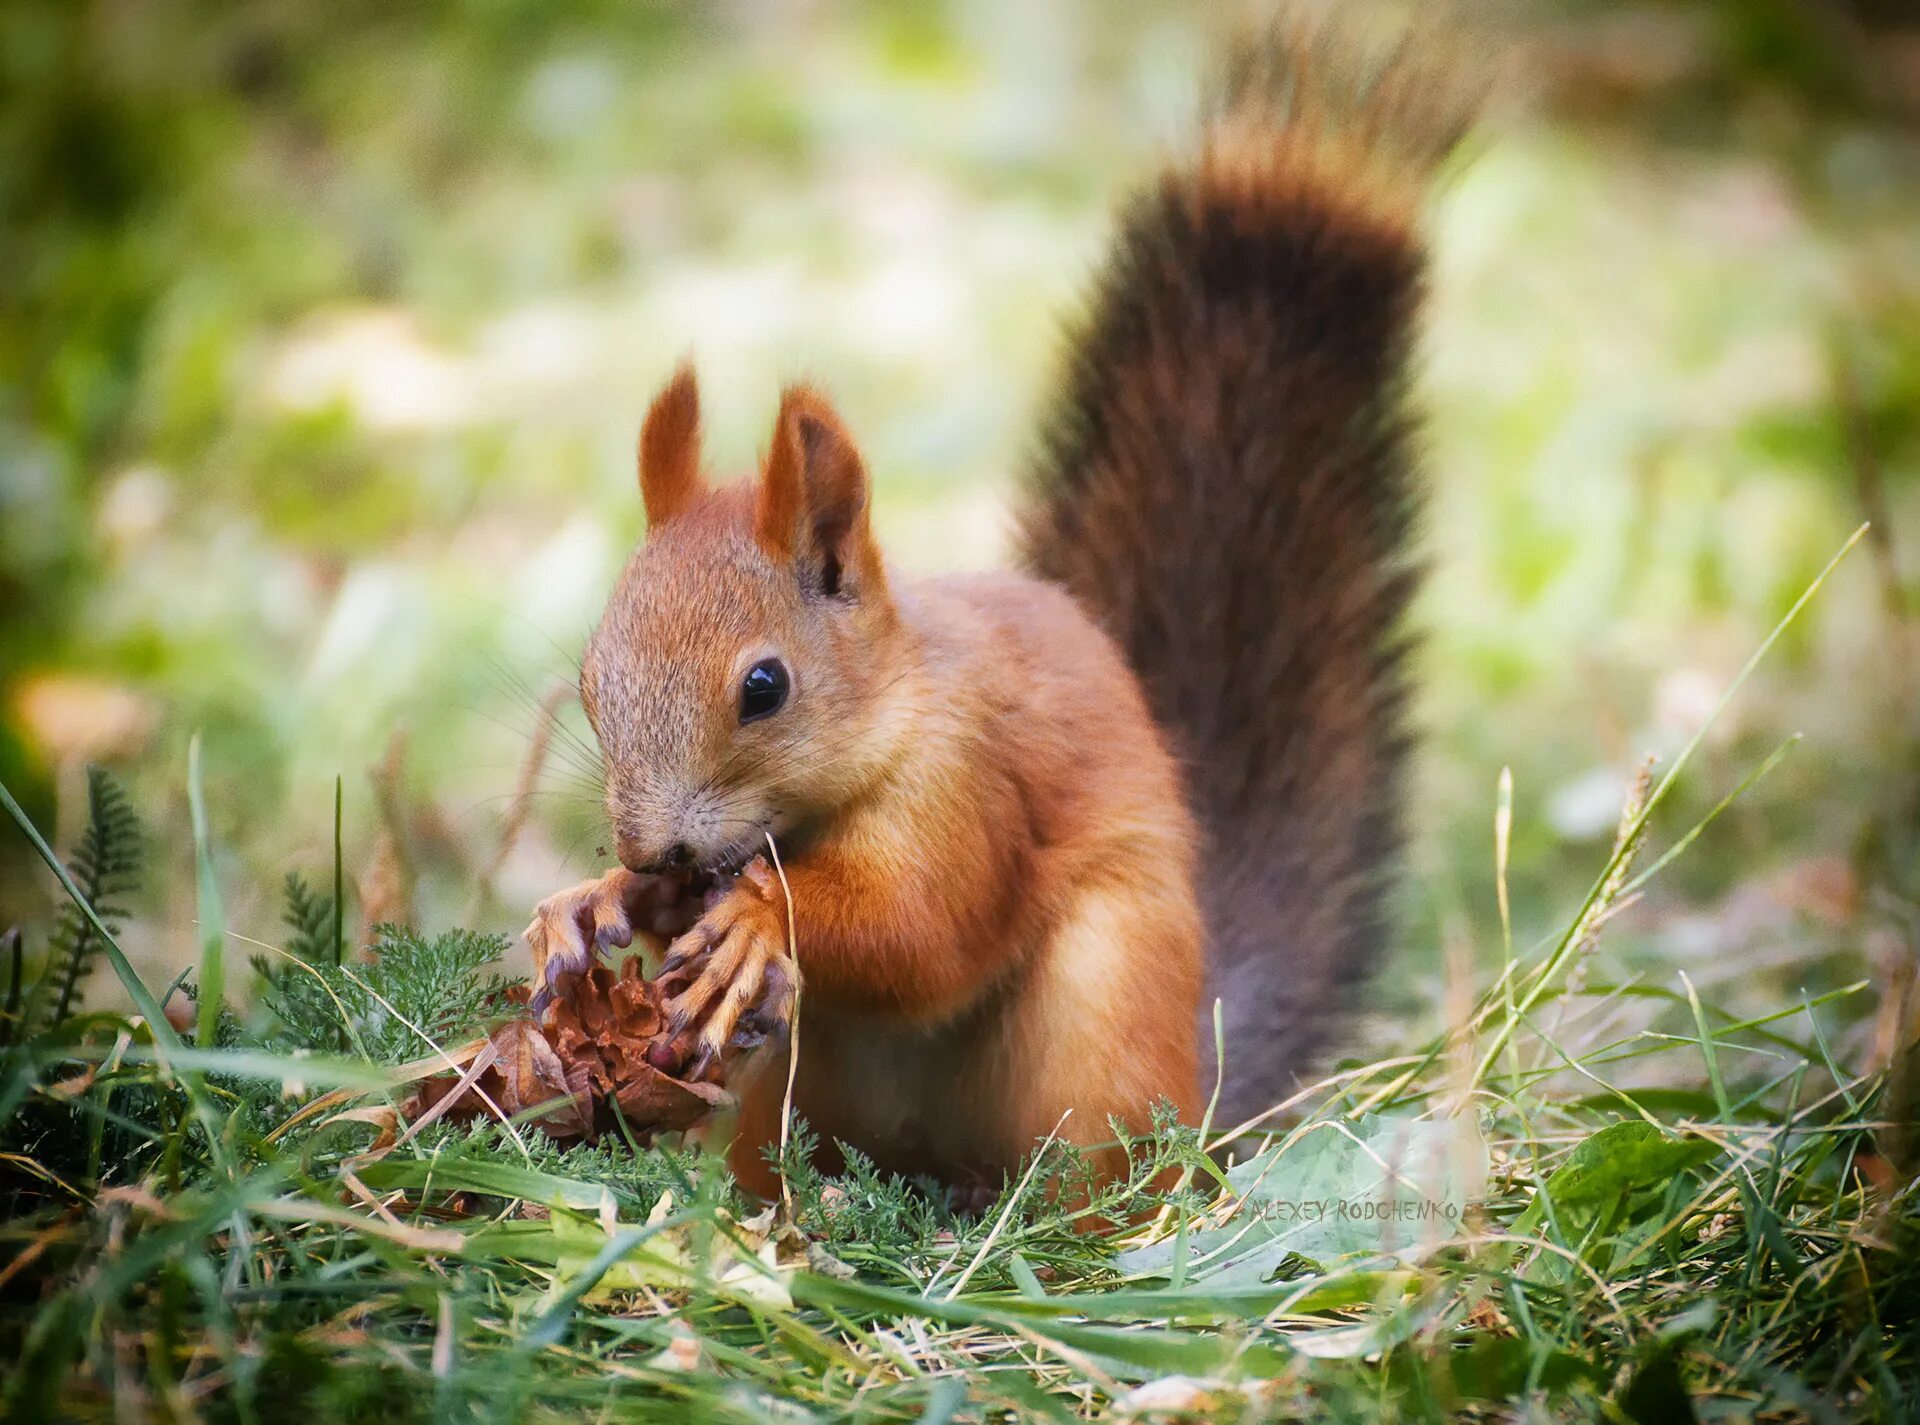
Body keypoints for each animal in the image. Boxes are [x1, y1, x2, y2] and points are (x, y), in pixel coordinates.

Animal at [518, 27, 1459, 1198]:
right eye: (591, 680)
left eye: (764, 687)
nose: (651, 852)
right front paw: (594, 899)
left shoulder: (971, 787)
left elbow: (926, 931)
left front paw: (761, 916)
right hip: (793, 1094)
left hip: (1101, 1021)